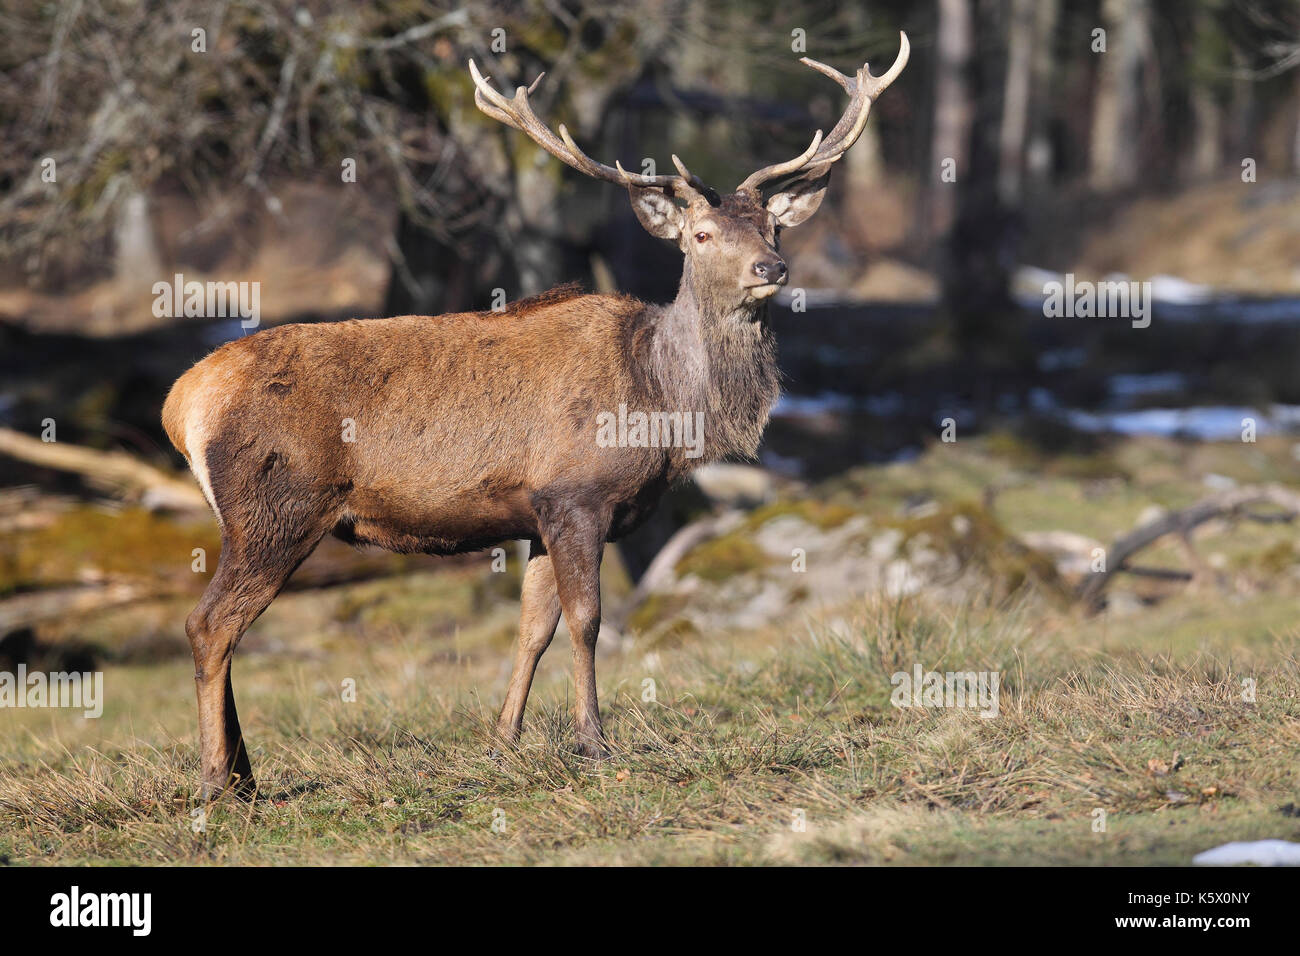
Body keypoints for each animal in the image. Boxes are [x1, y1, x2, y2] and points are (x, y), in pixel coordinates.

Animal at [162, 34, 909, 799]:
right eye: (701, 235)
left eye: (771, 227)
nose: (771, 268)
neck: (663, 405)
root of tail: (181, 401)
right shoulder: (576, 494)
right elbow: (586, 622)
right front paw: (593, 742)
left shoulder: (535, 513)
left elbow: (532, 629)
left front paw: (503, 743)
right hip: (276, 505)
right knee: (208, 625)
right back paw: (217, 782)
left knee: (222, 628)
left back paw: (245, 777)